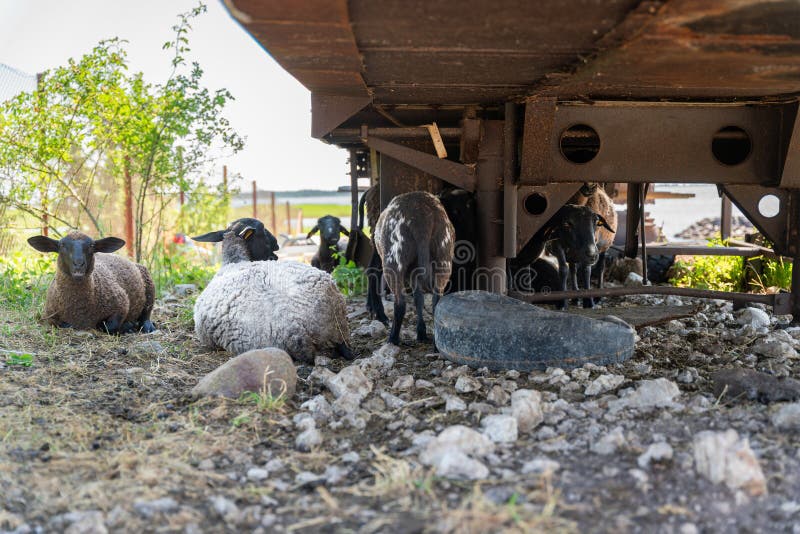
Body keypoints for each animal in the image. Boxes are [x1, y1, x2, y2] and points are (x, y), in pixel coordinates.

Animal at [27, 232, 155, 334]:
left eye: (91, 245)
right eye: (61, 245)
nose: (78, 264)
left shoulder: (121, 303)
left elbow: (109, 326)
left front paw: (126, 326)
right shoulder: (49, 316)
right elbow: (62, 325)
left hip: (148, 283)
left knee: (146, 312)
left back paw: (147, 327)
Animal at [373, 191, 455, 345]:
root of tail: (421, 215)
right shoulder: (414, 273)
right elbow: (418, 298)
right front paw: (421, 332)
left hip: (394, 257)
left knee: (400, 303)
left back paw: (392, 339)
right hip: (443, 255)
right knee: (436, 300)